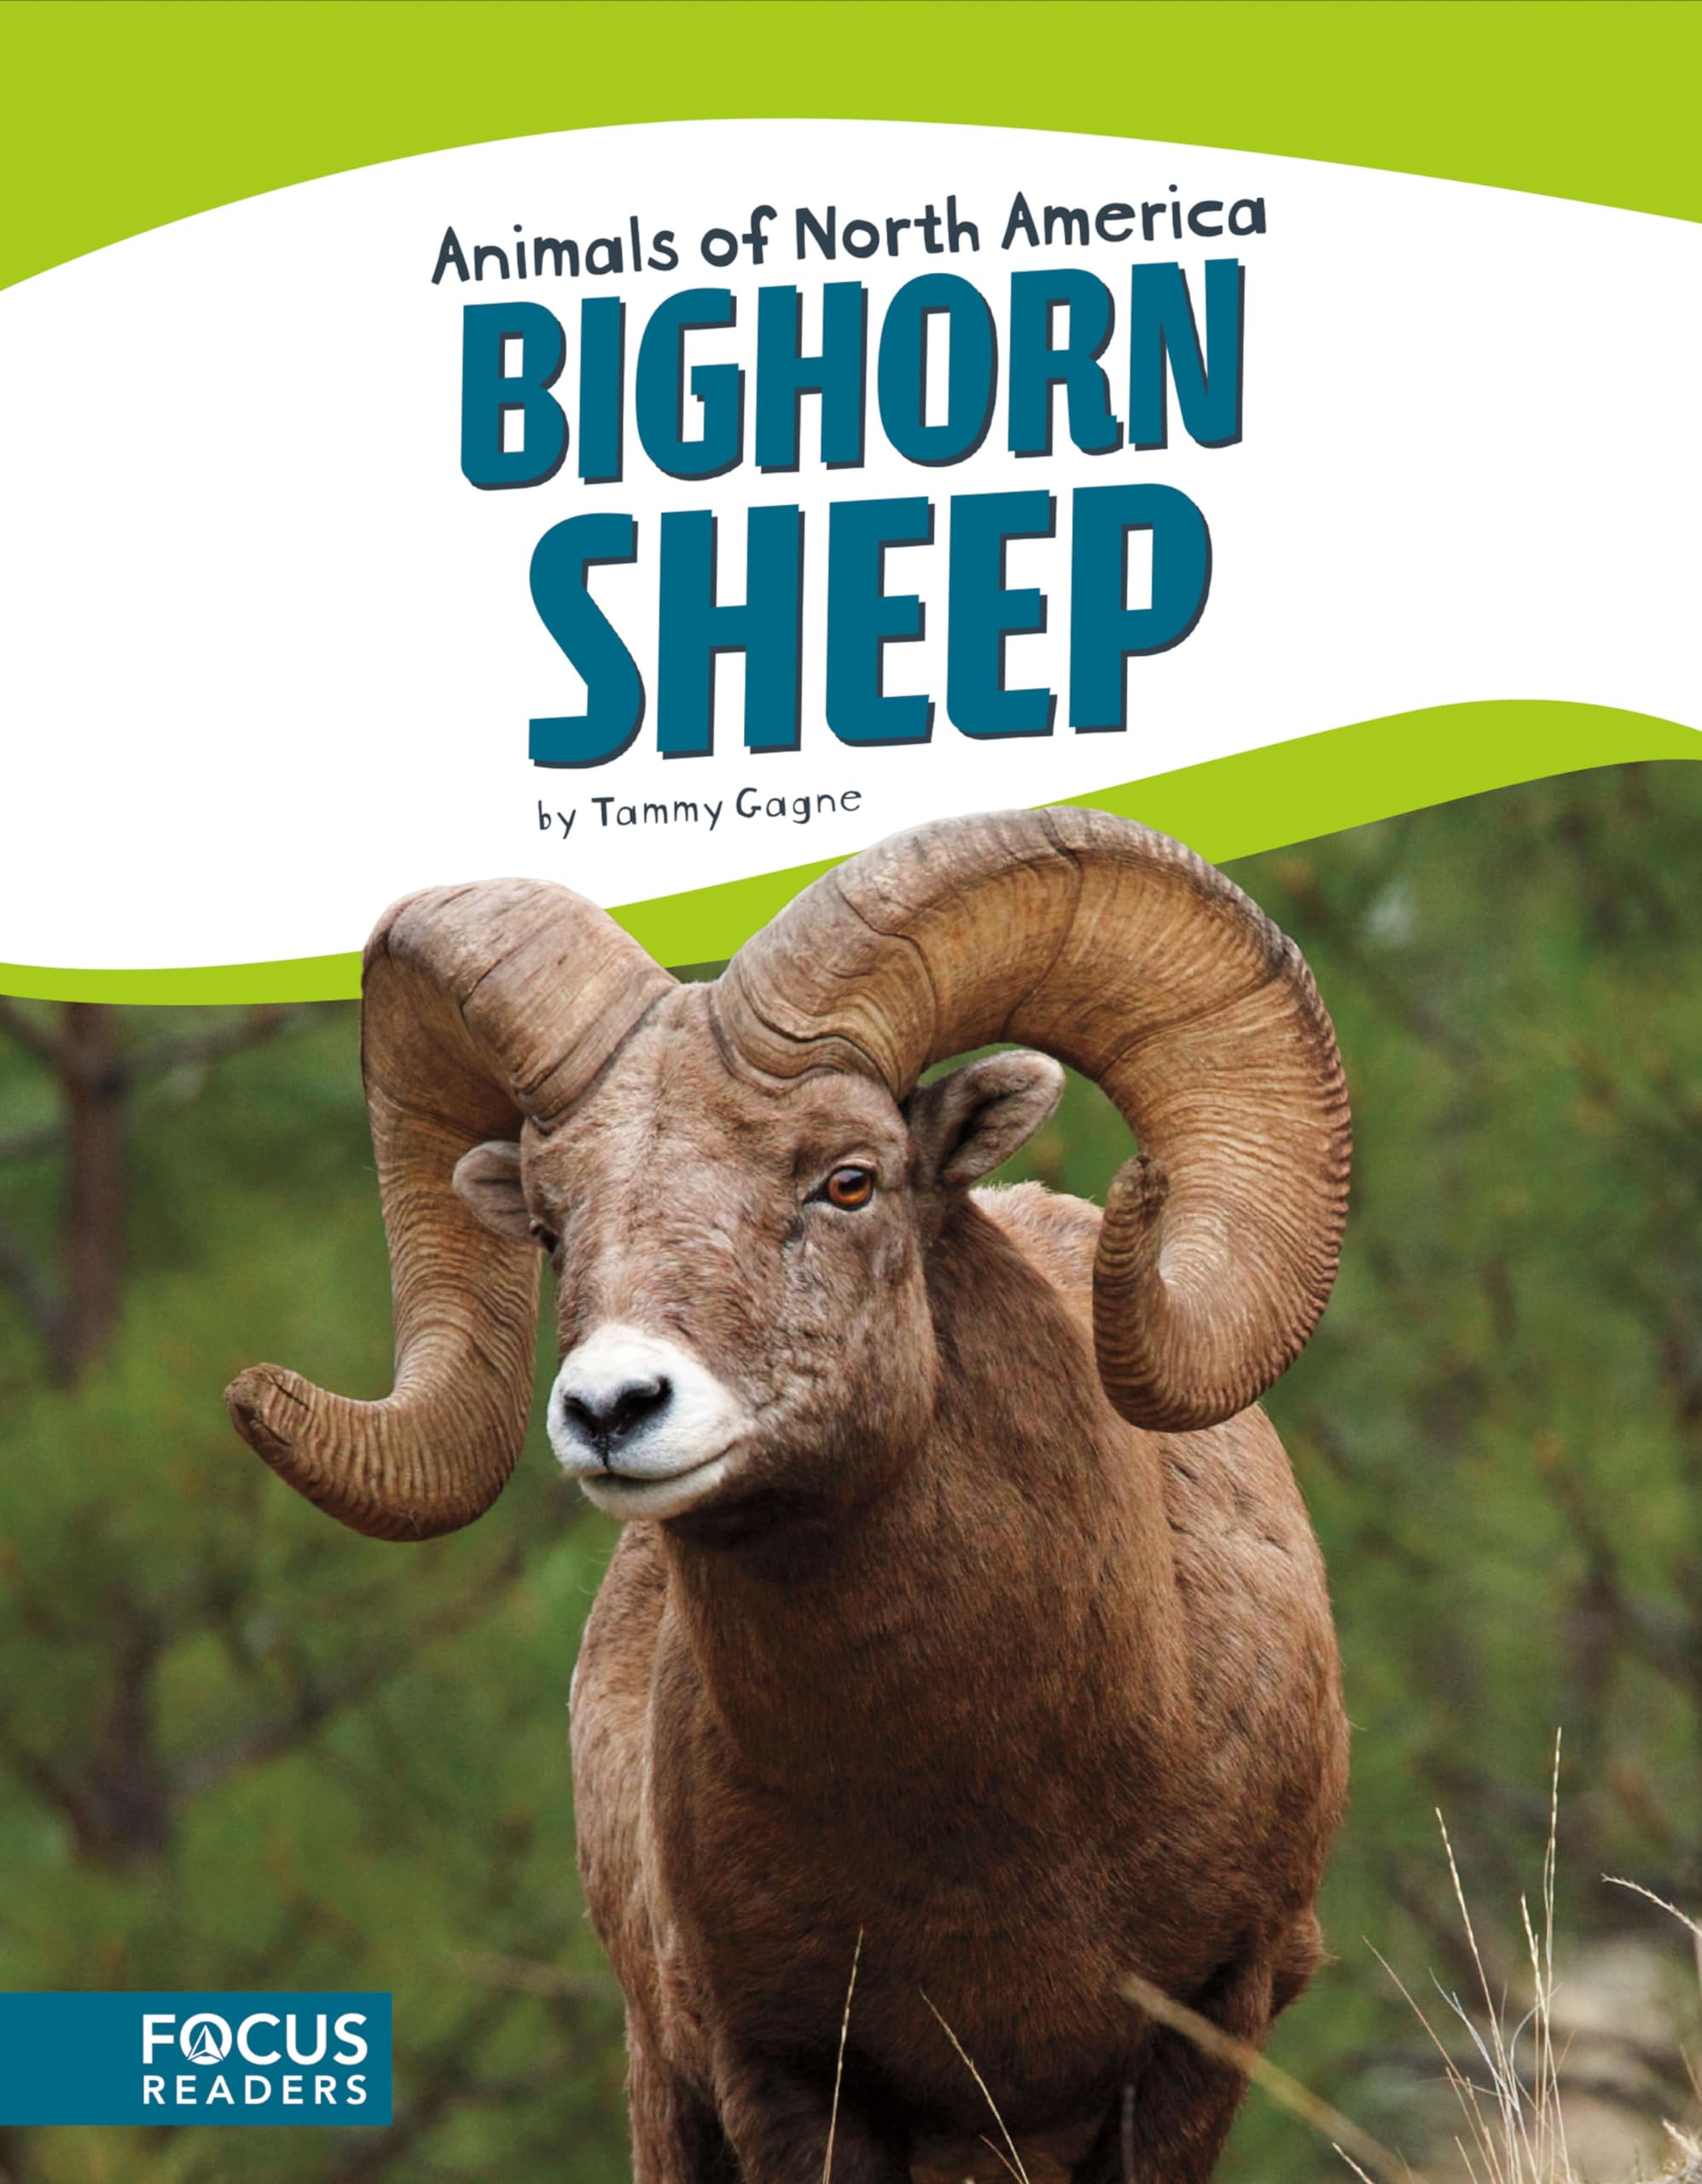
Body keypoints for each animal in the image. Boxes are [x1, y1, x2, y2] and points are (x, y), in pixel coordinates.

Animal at [226, 806, 1352, 2184]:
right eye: (549, 1226)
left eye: (849, 1179)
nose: (612, 1409)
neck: (1003, 1810)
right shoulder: (780, 2076)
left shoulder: (1202, 2031)